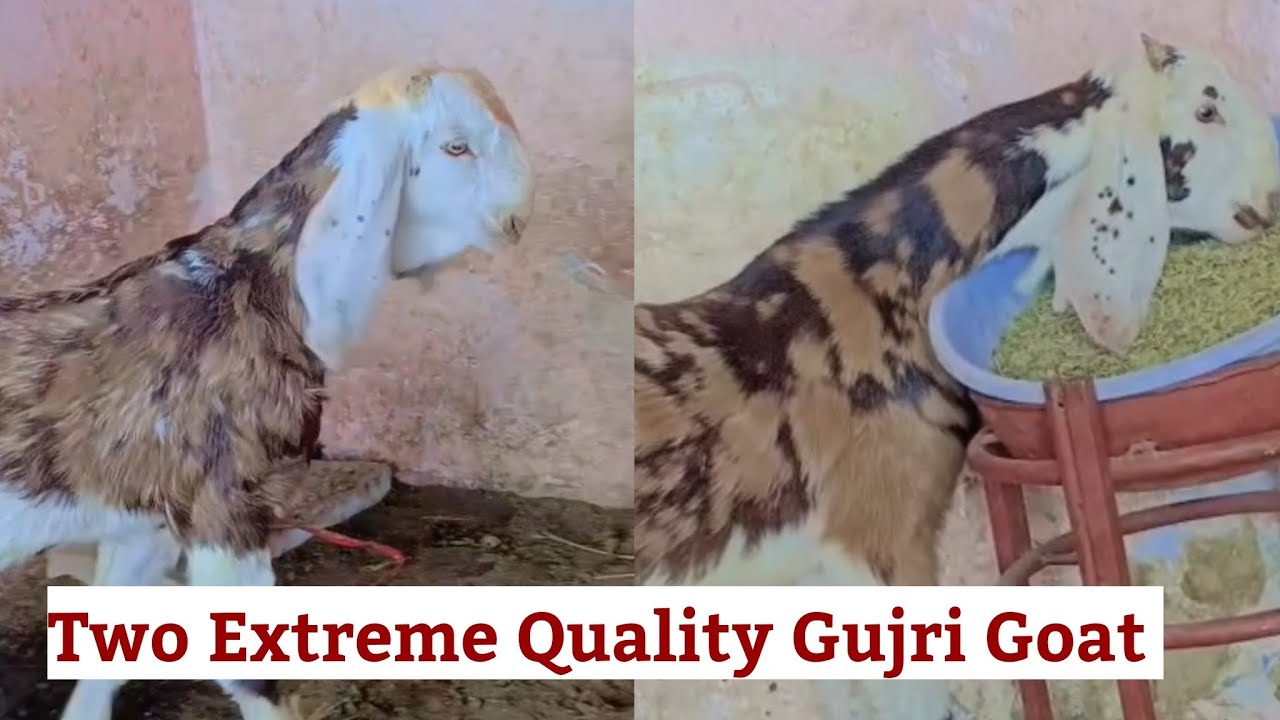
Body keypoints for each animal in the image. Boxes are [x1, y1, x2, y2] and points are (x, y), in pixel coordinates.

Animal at [0, 65, 533, 720]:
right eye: (456, 146)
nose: (517, 219)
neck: (254, 290)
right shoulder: (224, 509)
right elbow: (255, 682)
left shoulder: (145, 522)